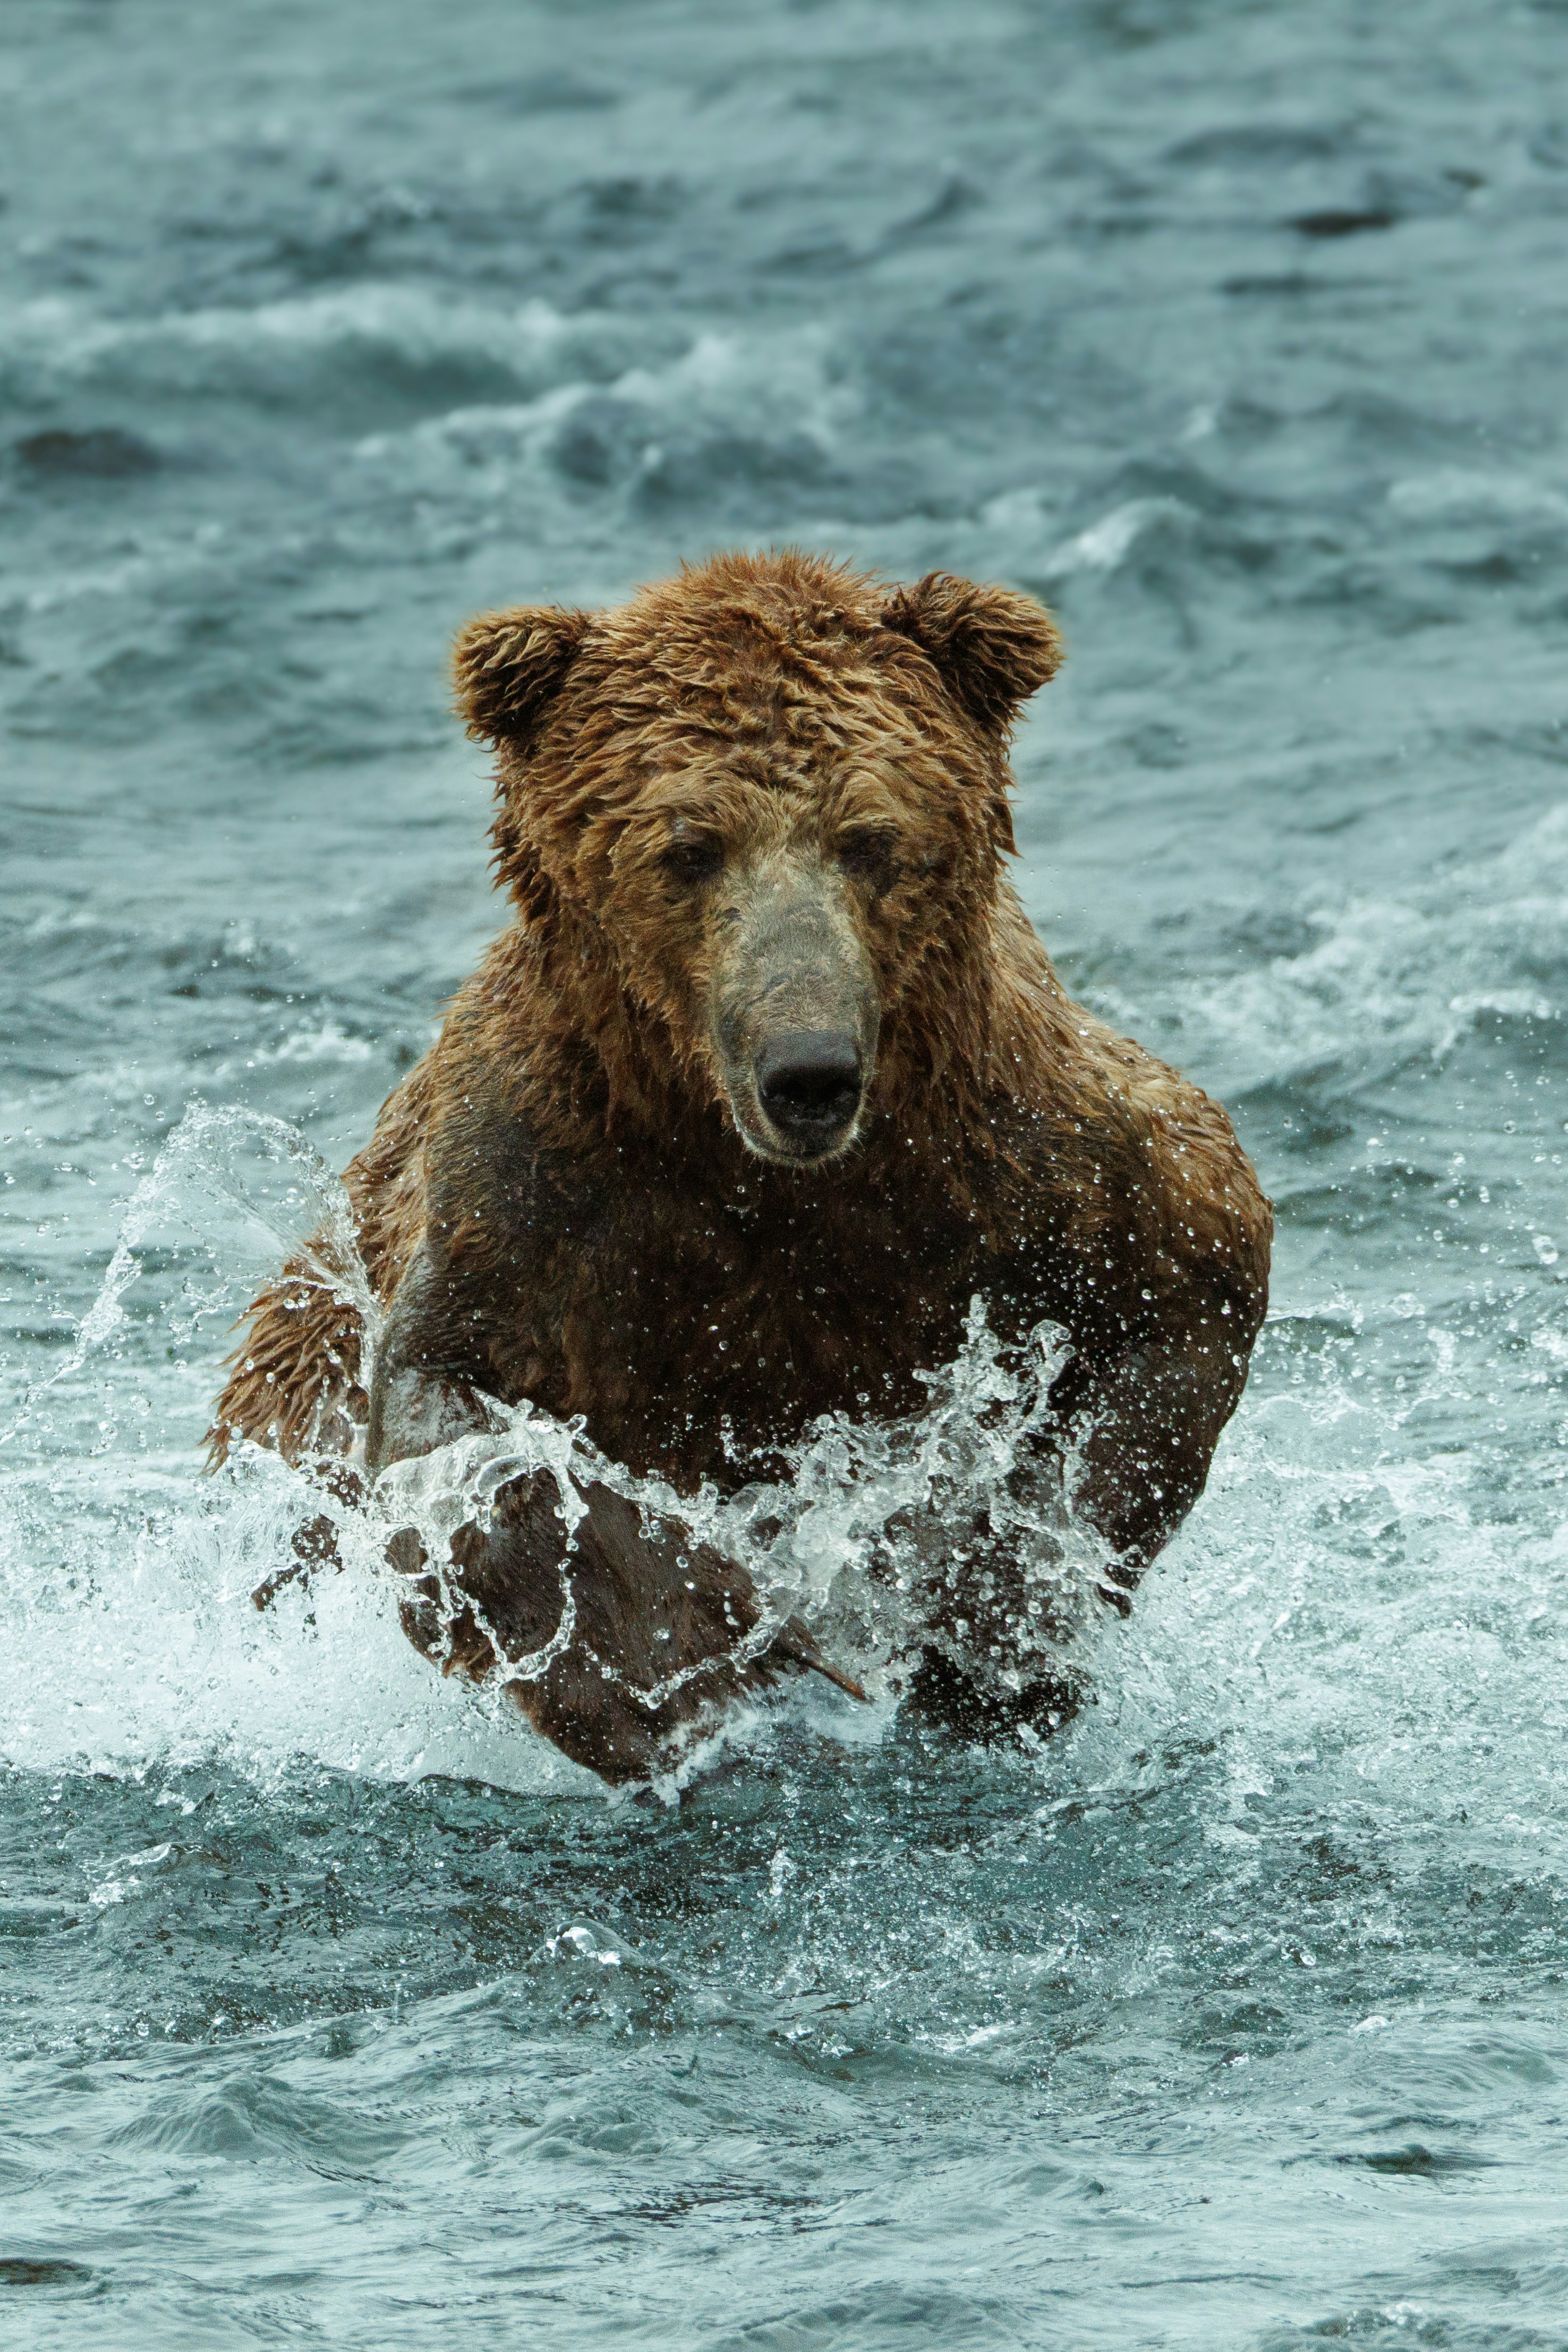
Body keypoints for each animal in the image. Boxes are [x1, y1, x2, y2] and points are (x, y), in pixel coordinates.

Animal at [211, 549, 1271, 1785]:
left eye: (871, 837)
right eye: (687, 847)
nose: (807, 1069)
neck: (763, 1174)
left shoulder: (1026, 1153)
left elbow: (1183, 1280)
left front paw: (993, 1598)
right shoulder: (542, 1196)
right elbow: (453, 1415)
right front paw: (691, 1657)